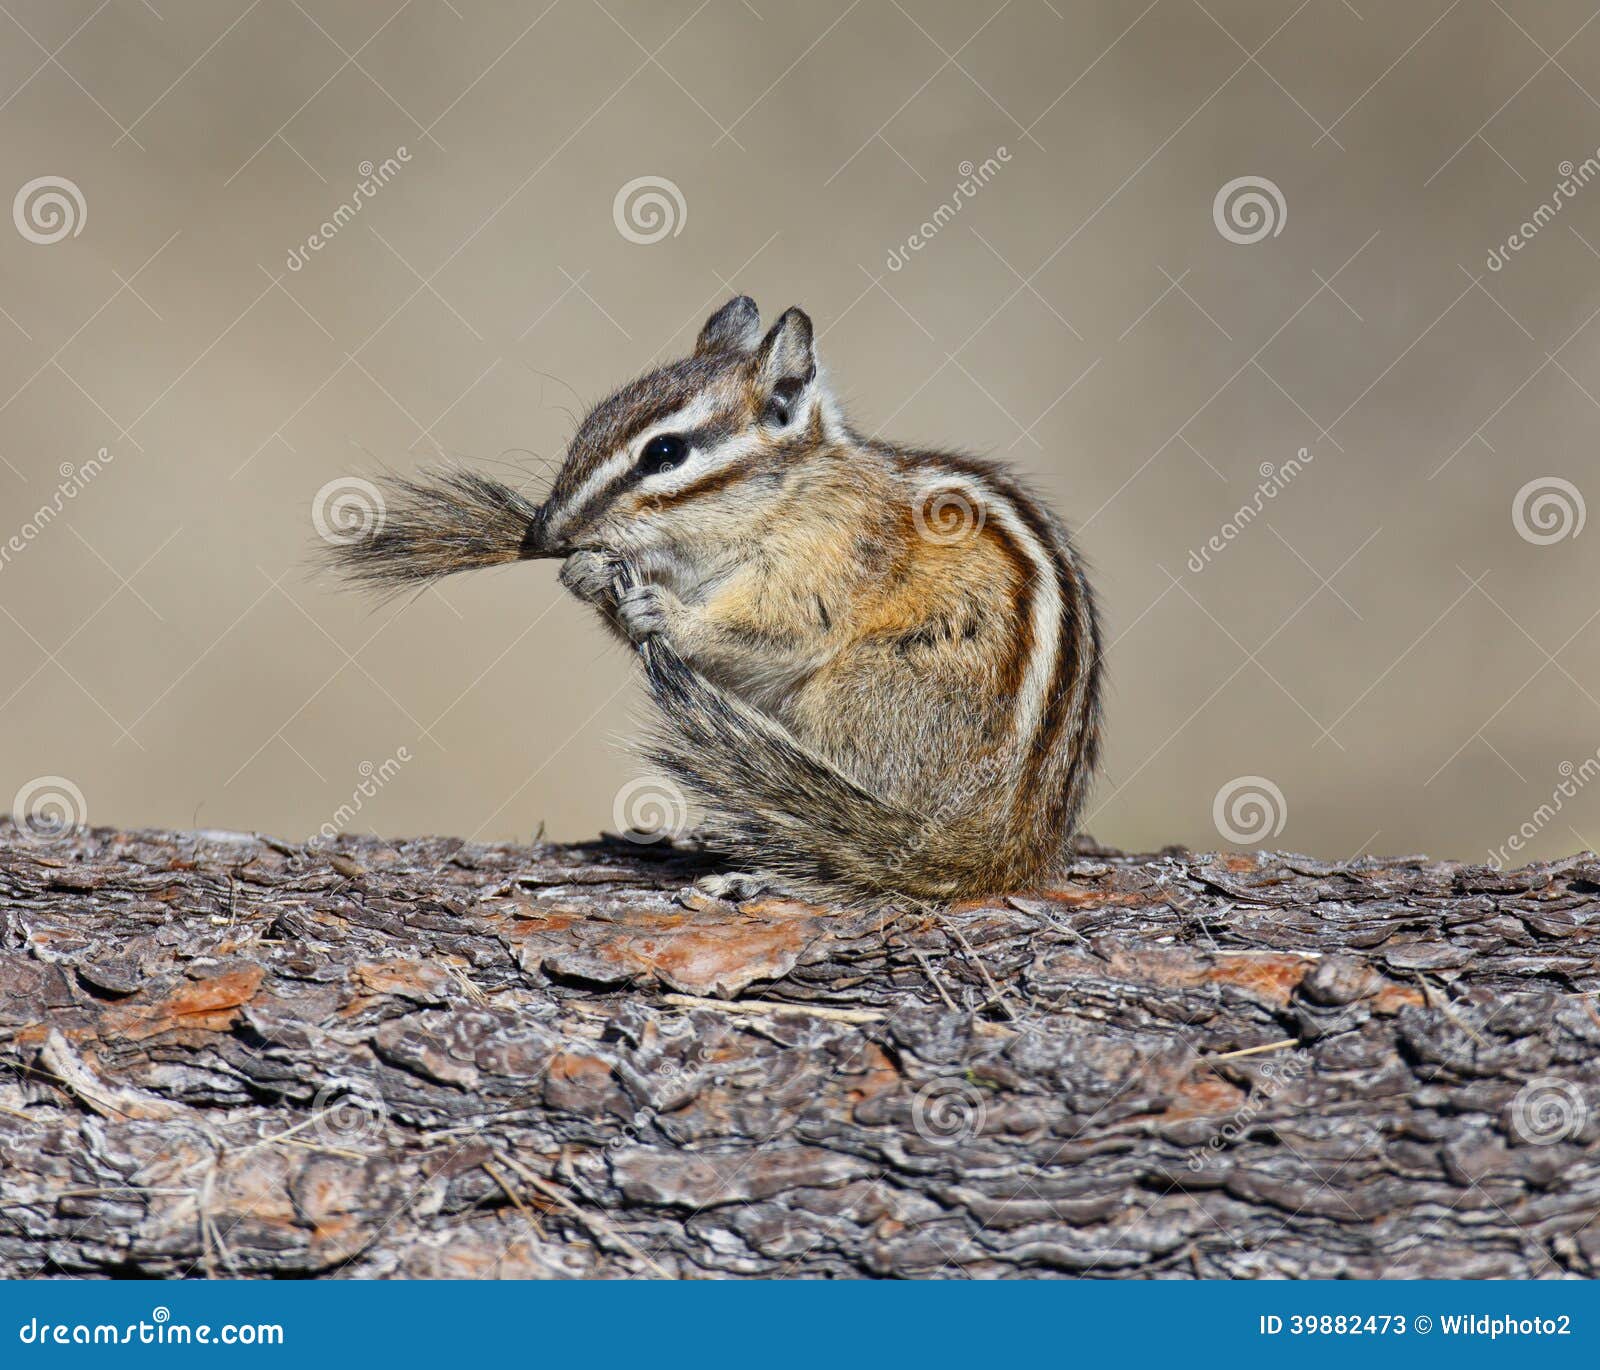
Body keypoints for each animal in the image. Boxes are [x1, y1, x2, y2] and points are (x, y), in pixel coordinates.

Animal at [332, 296, 1103, 906]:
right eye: (590, 422)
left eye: (665, 454)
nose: (546, 532)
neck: (793, 492)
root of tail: (1005, 843)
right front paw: (587, 576)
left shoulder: (821, 571)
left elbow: (775, 635)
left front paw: (660, 613)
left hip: (865, 695)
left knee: (861, 851)